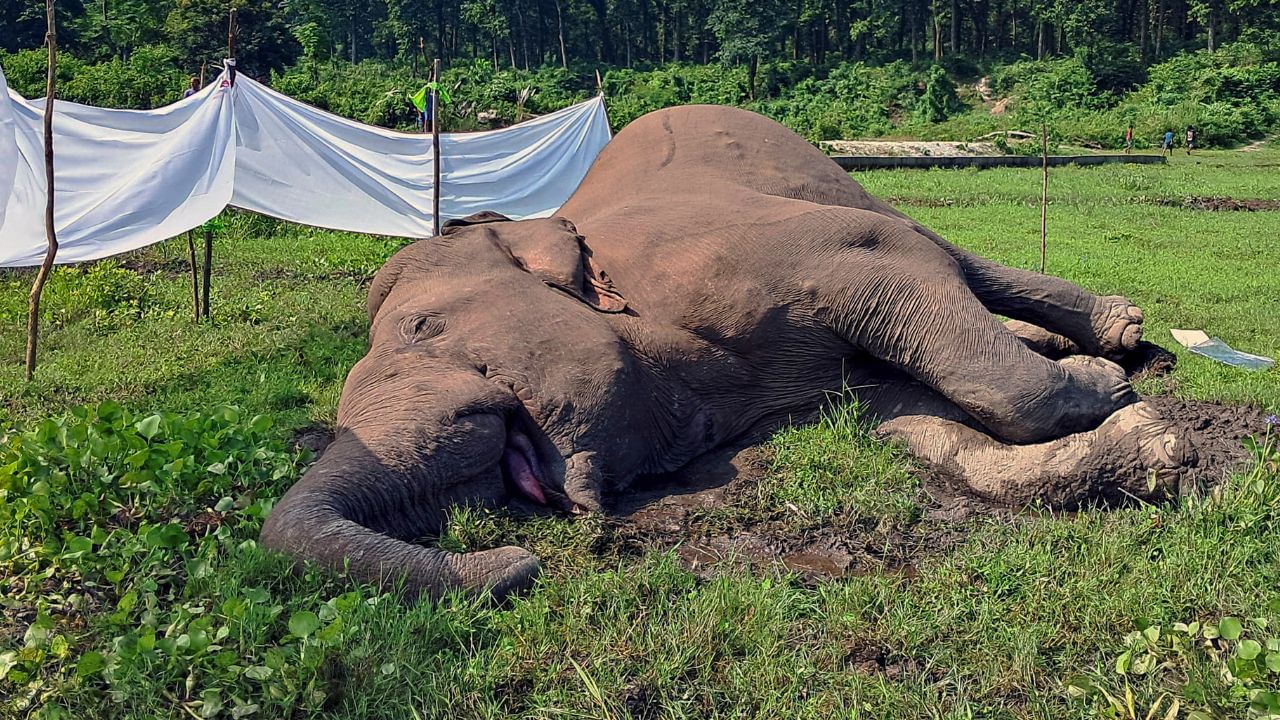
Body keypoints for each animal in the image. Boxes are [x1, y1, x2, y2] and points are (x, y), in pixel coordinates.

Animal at [259, 104, 1192, 600]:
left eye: (424, 329)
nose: (523, 564)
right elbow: (907, 421)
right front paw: (1146, 444)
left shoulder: (759, 255)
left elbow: (906, 281)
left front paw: (1112, 388)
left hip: (832, 178)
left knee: (941, 247)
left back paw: (1116, 332)